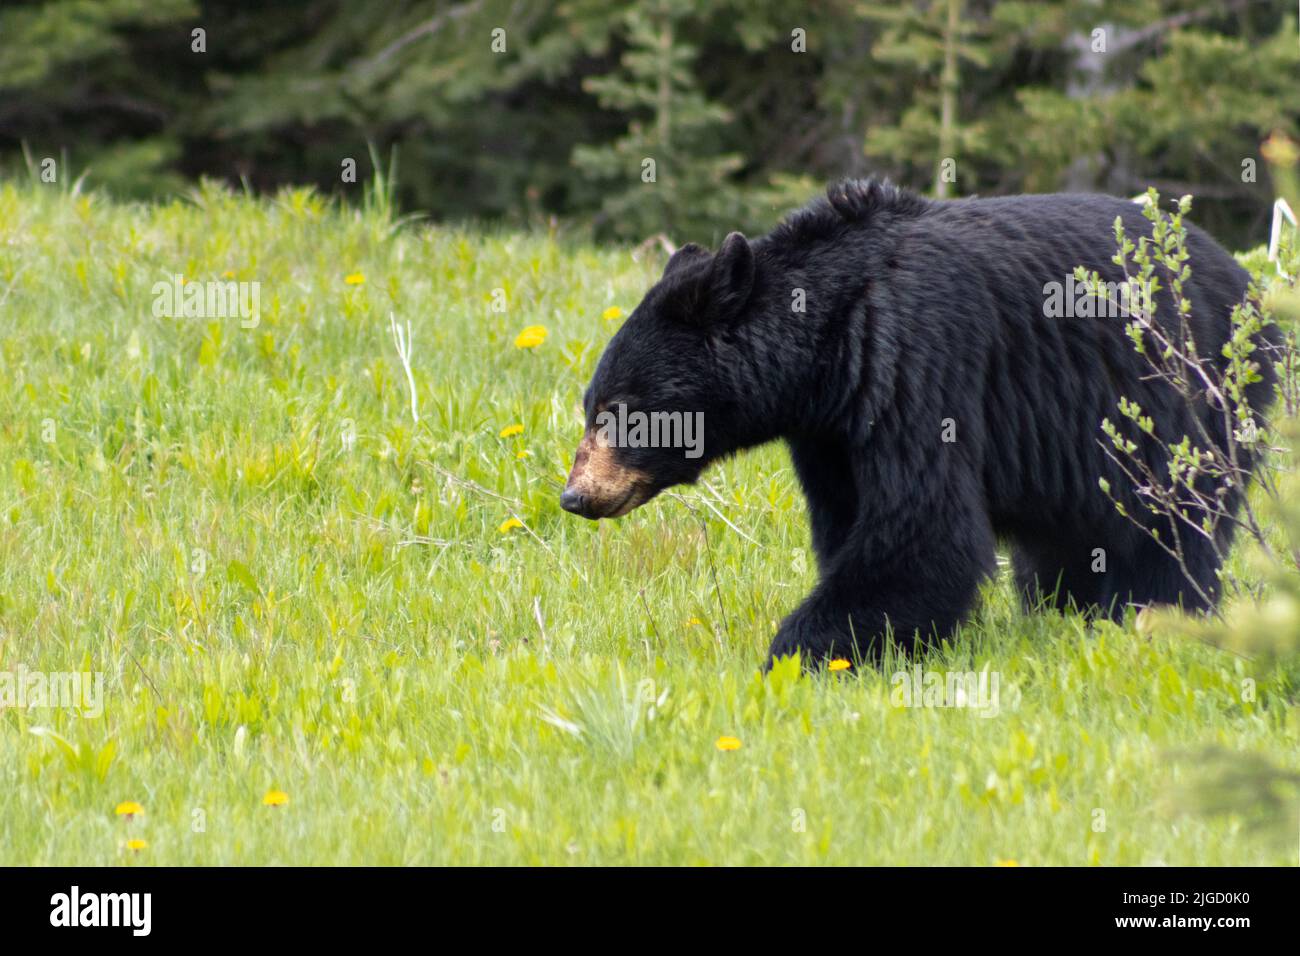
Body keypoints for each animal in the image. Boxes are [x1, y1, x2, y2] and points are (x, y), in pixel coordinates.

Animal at [561, 179, 1278, 667]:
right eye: (592, 405)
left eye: (615, 411)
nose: (574, 496)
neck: (831, 337)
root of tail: (1251, 285)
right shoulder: (830, 428)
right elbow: (849, 517)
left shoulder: (917, 359)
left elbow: (923, 528)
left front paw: (798, 654)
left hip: (1192, 403)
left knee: (1170, 528)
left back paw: (1157, 615)